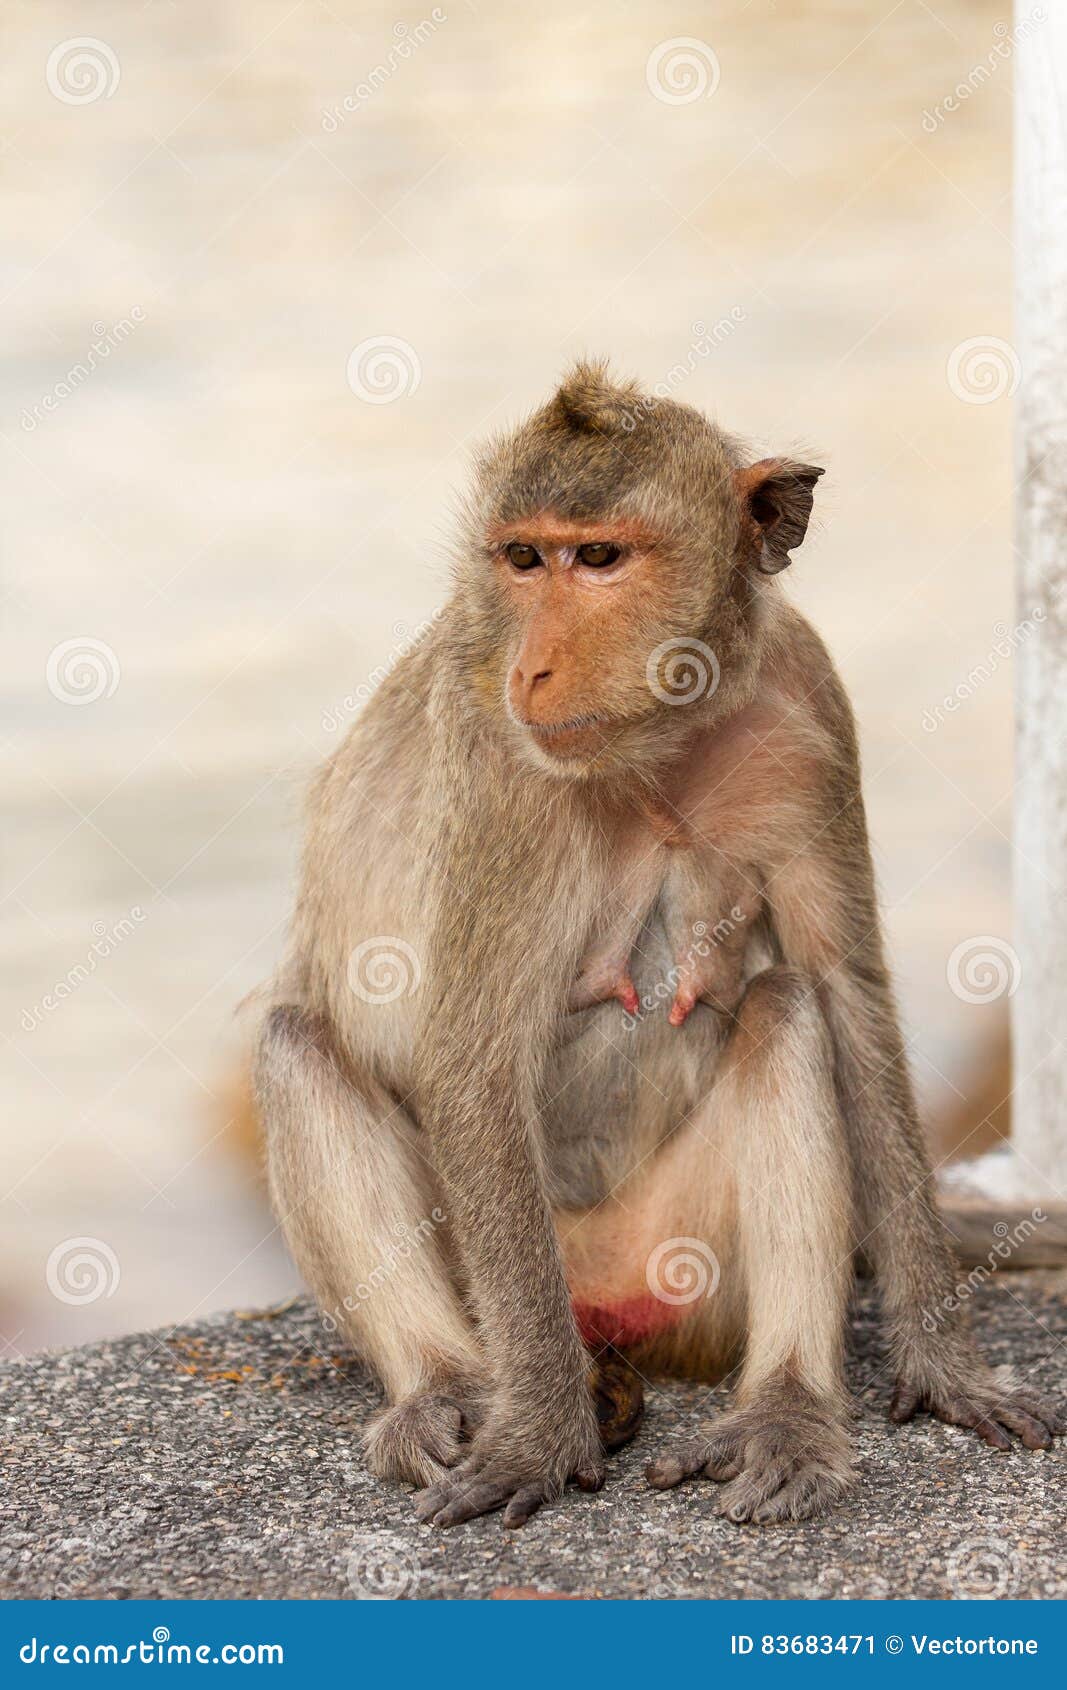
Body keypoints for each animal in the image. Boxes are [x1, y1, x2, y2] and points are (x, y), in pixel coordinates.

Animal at [253, 361, 1063, 1530]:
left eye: (597, 558)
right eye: (522, 558)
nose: (536, 672)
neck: (663, 736)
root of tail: (598, 1302)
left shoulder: (809, 707)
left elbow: (846, 1000)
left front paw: (945, 1367)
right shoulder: (504, 775)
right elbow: (470, 1061)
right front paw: (541, 1438)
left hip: (684, 1269)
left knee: (784, 1009)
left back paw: (783, 1408)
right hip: (491, 1271)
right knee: (298, 1041)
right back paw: (447, 1392)